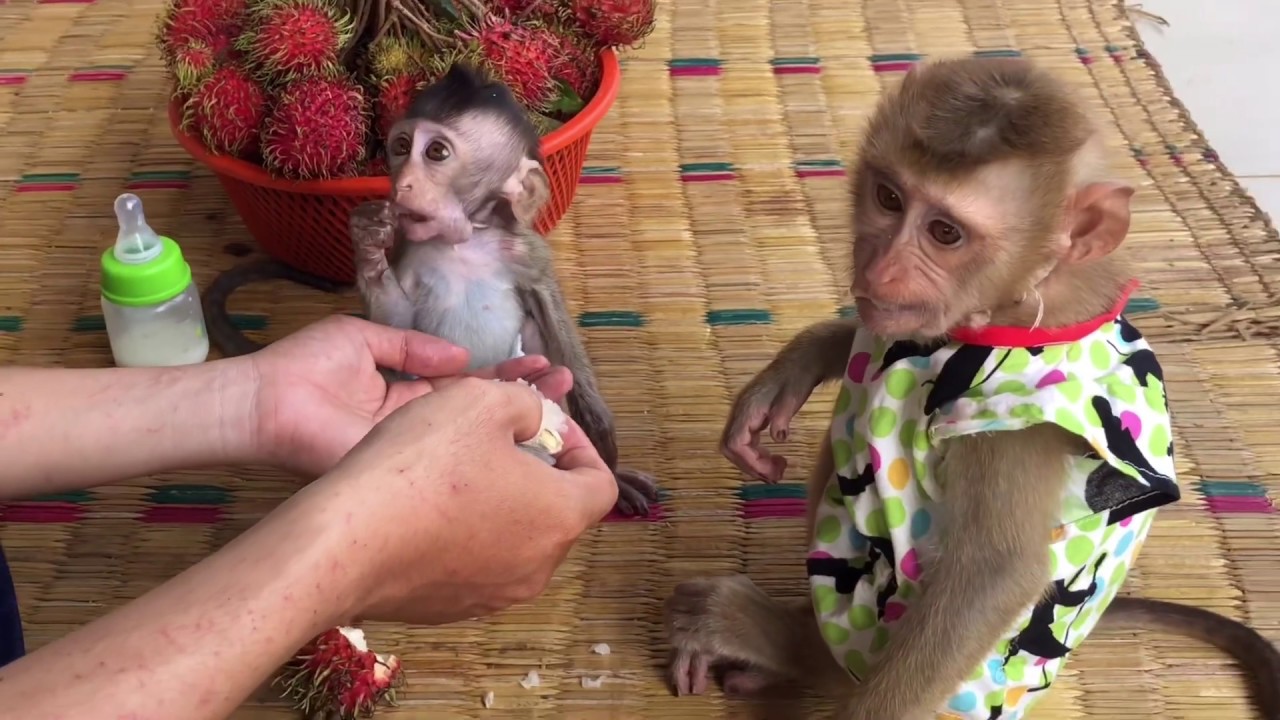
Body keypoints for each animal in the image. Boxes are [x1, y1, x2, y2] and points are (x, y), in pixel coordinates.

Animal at [200, 64, 659, 517]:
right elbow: (399, 324)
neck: (463, 242)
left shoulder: (528, 254)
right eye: (401, 146)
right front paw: (368, 244)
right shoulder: (411, 254)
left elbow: (556, 330)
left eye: (436, 153)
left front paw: (612, 470)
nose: (402, 182)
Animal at [662, 56, 1280, 720]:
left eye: (945, 233)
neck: (1018, 307)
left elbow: (992, 575)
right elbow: (875, 336)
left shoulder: (1017, 433)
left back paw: (779, 645)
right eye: (889, 199)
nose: (879, 269)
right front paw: (791, 371)